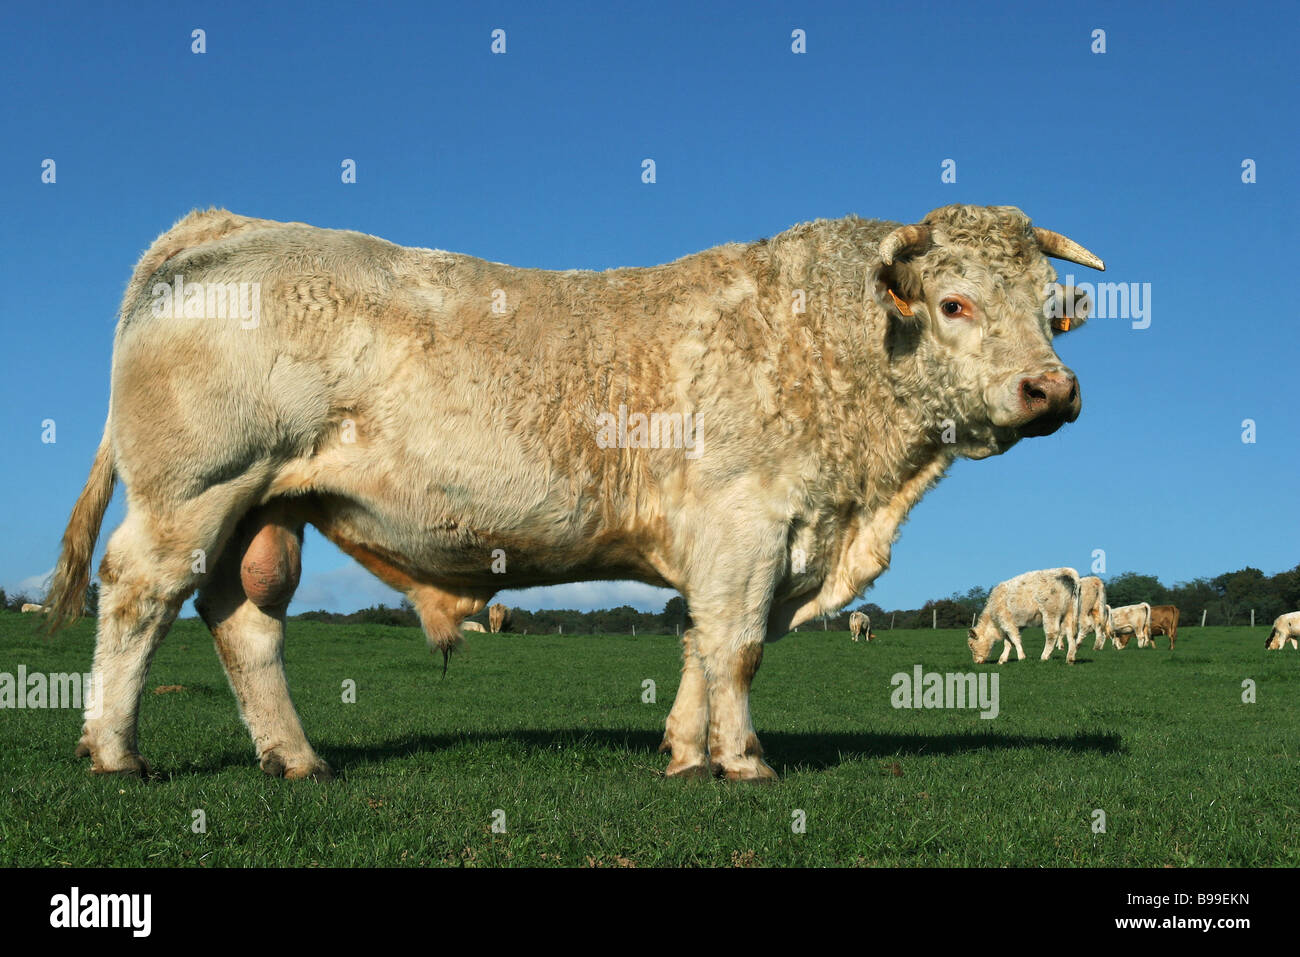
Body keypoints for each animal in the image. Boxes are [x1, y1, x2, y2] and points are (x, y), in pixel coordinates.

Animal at [44, 203, 1103, 781]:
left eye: (1050, 308)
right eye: (955, 302)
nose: (1051, 390)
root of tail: (227, 225)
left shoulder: (733, 542)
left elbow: (700, 645)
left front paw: (685, 752)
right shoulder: (748, 522)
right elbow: (737, 648)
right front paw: (746, 759)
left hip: (257, 508)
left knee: (243, 619)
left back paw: (296, 756)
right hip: (194, 489)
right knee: (138, 592)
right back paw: (116, 750)